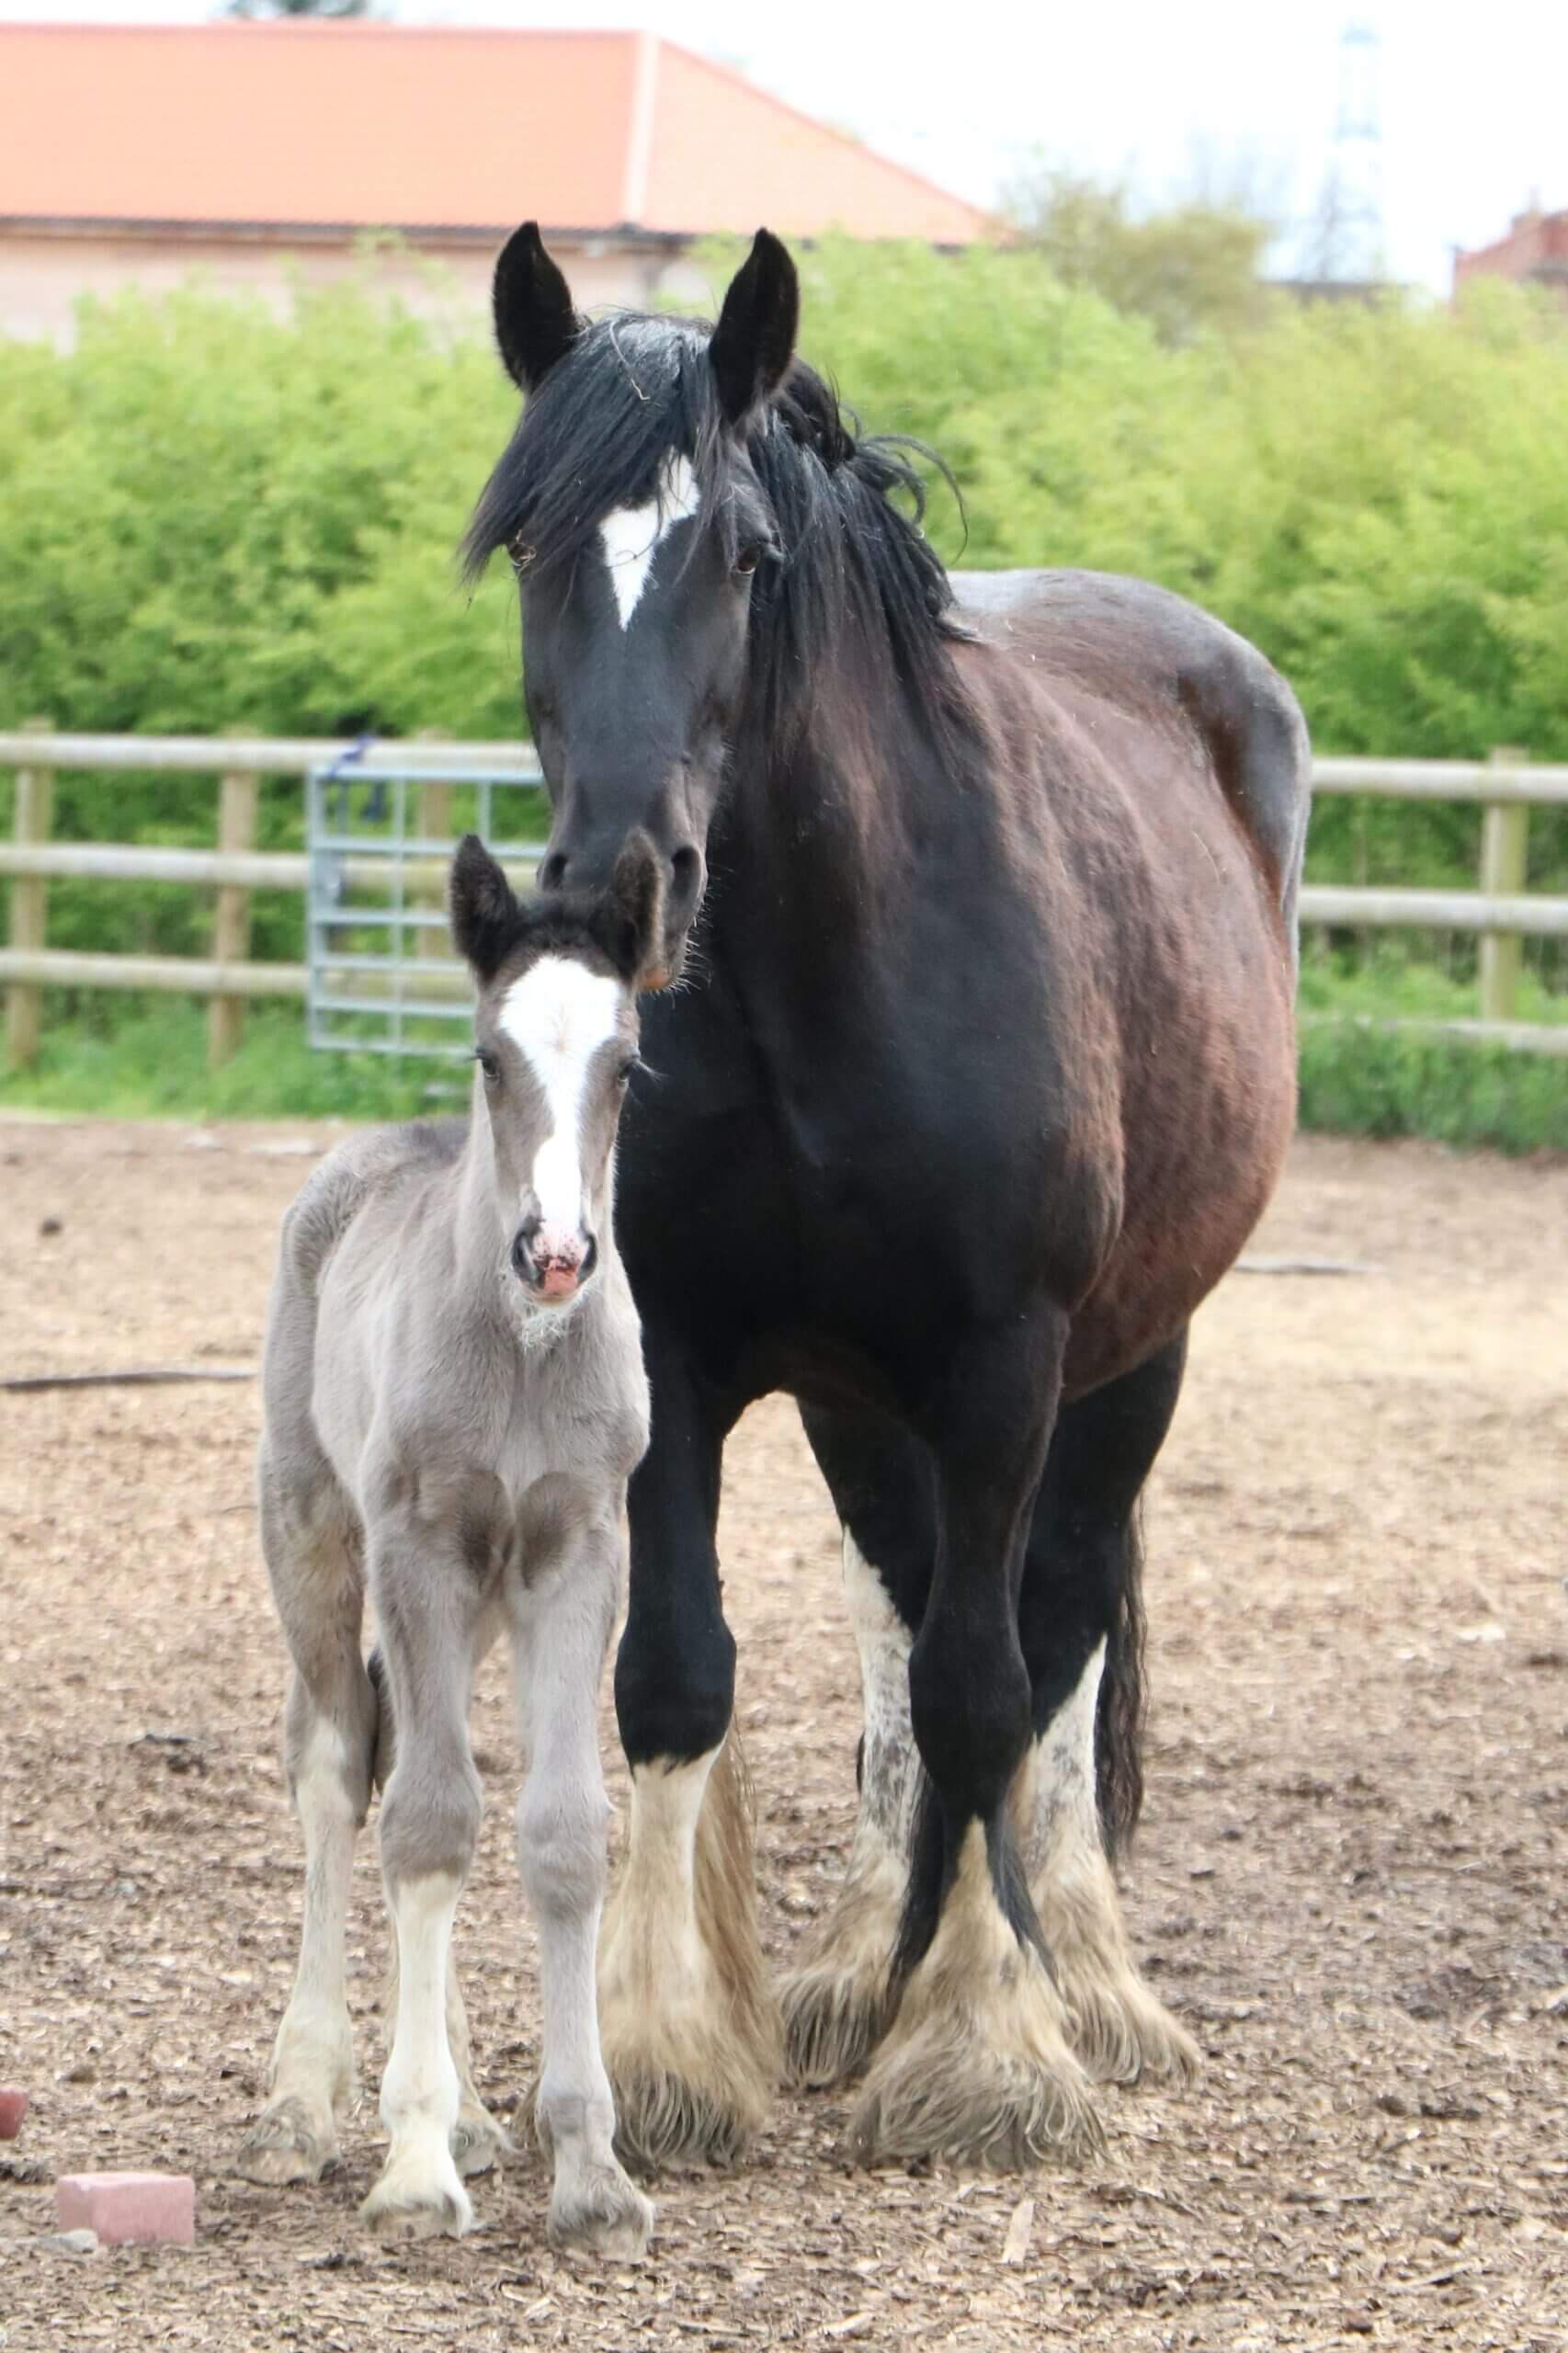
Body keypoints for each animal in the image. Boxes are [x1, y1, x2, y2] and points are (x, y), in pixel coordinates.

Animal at [236, 837, 664, 2252]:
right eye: (489, 1054)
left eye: (623, 1062)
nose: (556, 1253)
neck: (522, 1357)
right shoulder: (417, 1548)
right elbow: (423, 1823)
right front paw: (414, 2161)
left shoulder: (577, 1554)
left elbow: (560, 1831)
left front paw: (590, 2166)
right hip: (314, 1531)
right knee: (334, 1769)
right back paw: (304, 2100)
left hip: (475, 1601)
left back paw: (476, 2110)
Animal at [460, 222, 1310, 2172]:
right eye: (533, 544)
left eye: (742, 553)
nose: (618, 879)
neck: (823, 981)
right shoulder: (682, 1353)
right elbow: (682, 1674)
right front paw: (668, 2052)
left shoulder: (1005, 1365)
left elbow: (992, 1685)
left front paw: (991, 2048)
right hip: (861, 1400)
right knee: (894, 1622)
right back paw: (867, 1958)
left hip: (1129, 1365)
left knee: (1050, 1631)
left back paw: (1074, 1967)